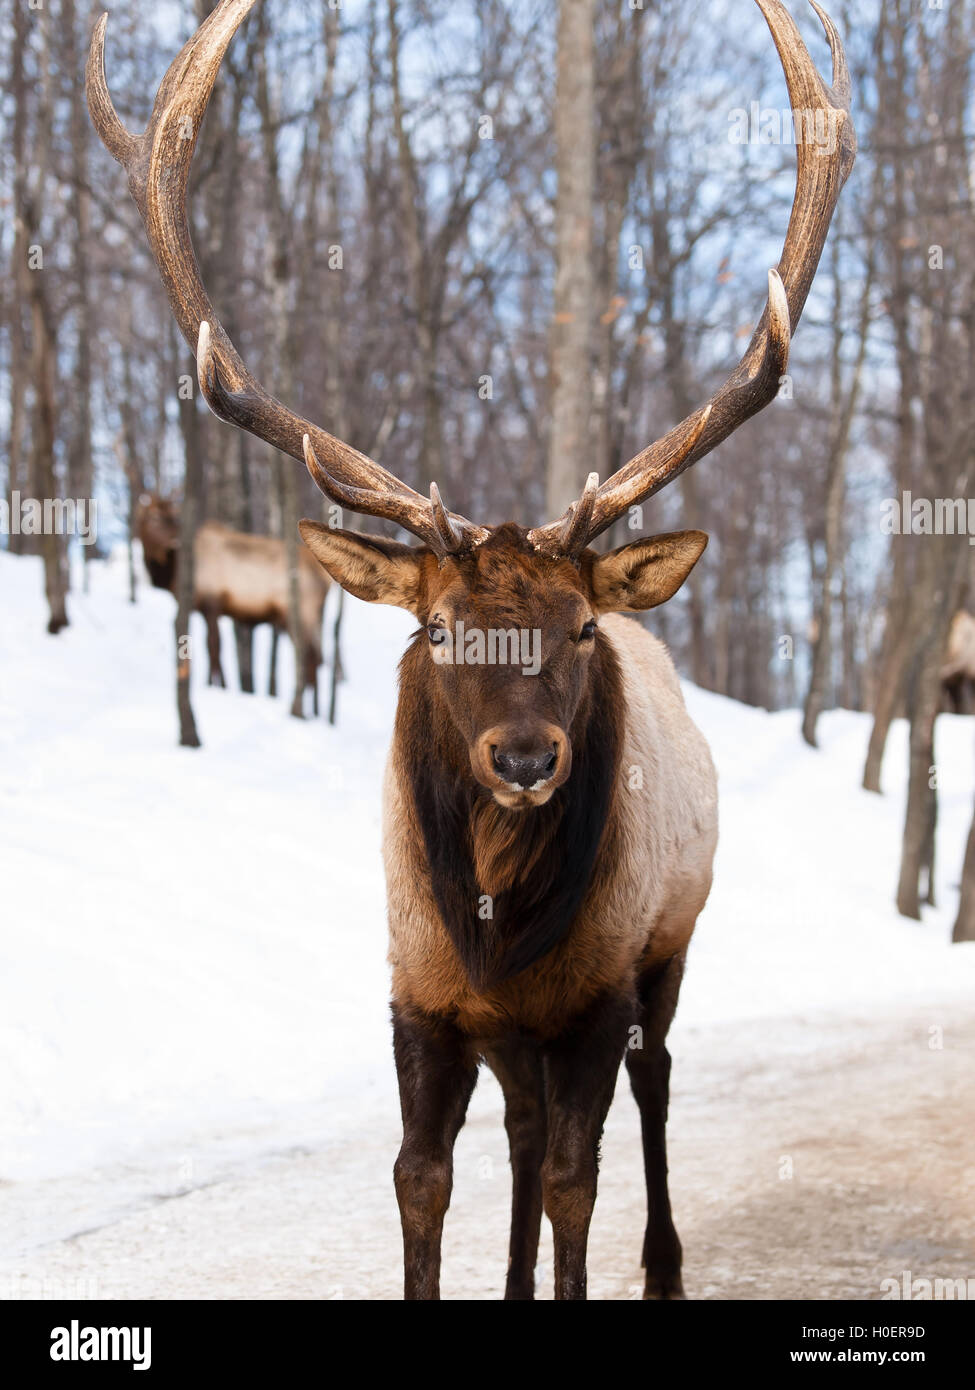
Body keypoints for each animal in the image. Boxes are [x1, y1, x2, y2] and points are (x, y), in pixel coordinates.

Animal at [135, 493, 329, 706]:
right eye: (154, 517)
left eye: (173, 517)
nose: (173, 541)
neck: (172, 575)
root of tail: (324, 579)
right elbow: (212, 646)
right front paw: (218, 683)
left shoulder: (212, 602)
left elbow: (213, 645)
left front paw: (216, 685)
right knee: (317, 658)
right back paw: (314, 707)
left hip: (300, 613)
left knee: (309, 655)